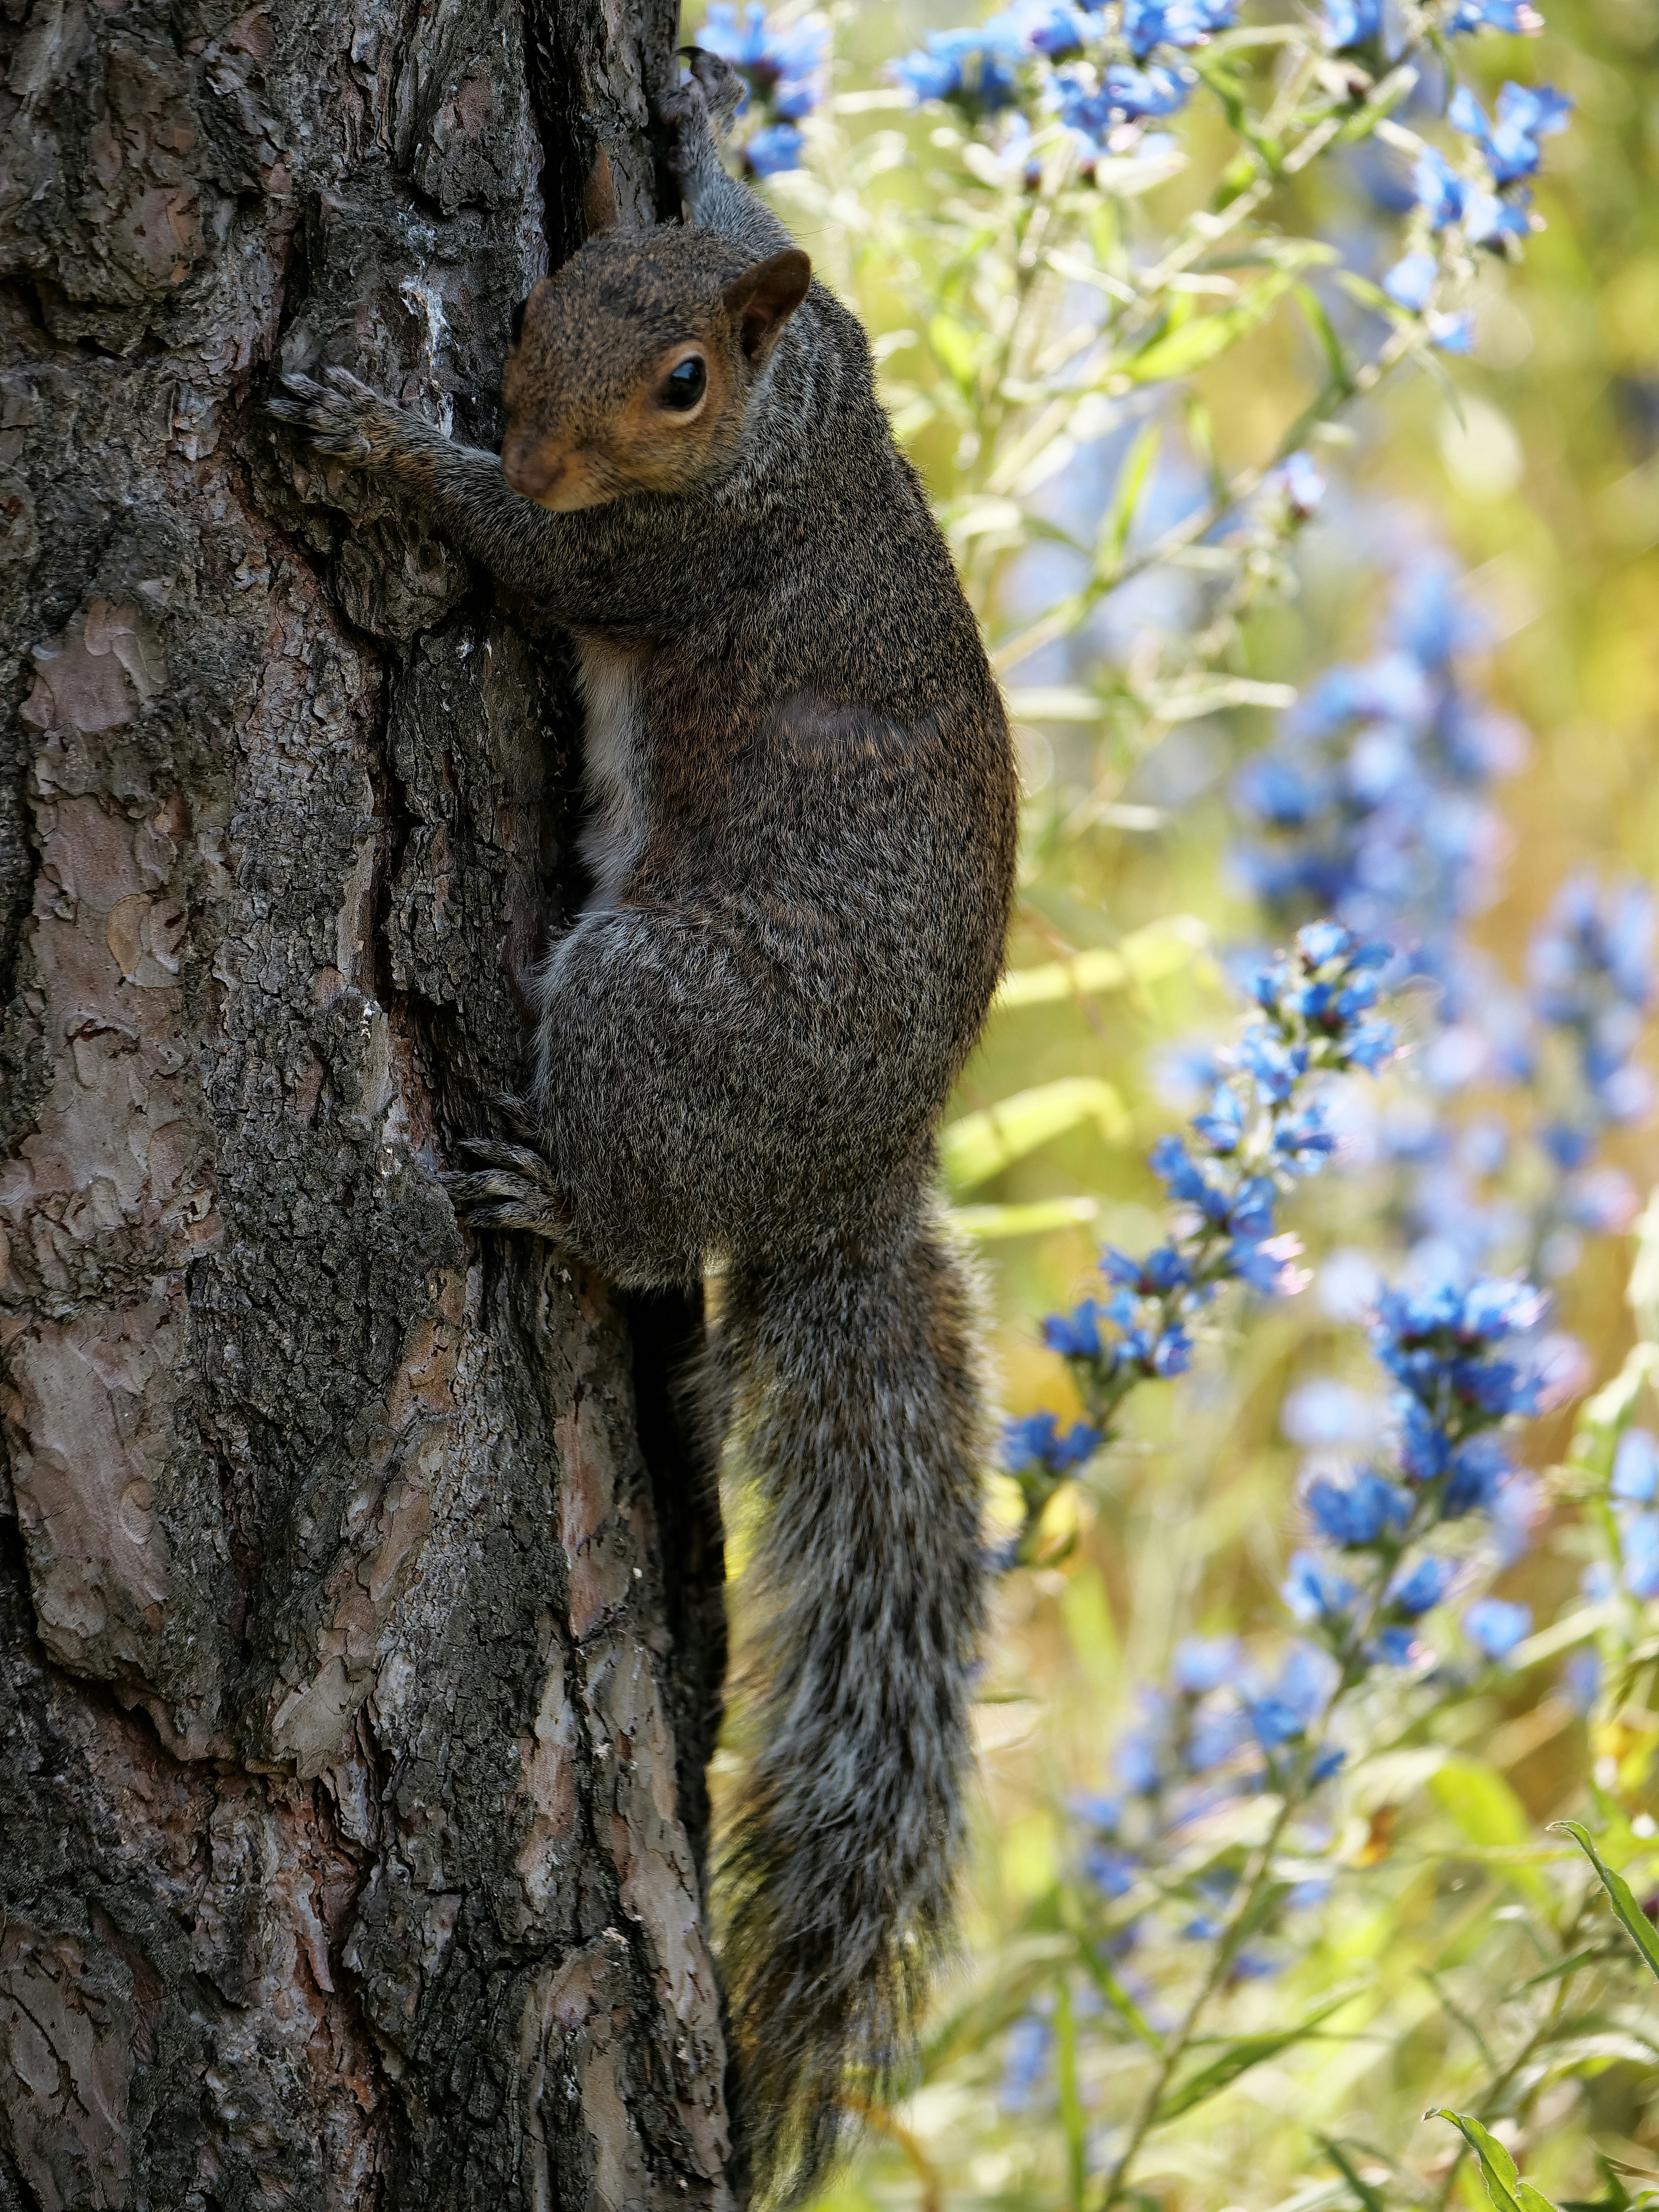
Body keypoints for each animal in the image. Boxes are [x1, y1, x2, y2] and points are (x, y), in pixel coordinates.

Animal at [270, 51, 1018, 2207]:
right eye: (536, 303)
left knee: (642, 1234)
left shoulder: (657, 562)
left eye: (680, 382)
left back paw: (551, 1200)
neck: (793, 428)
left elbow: (535, 555)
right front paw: (668, 130)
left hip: (640, 1009)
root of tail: (850, 1184)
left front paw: (384, 445)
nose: (525, 430)